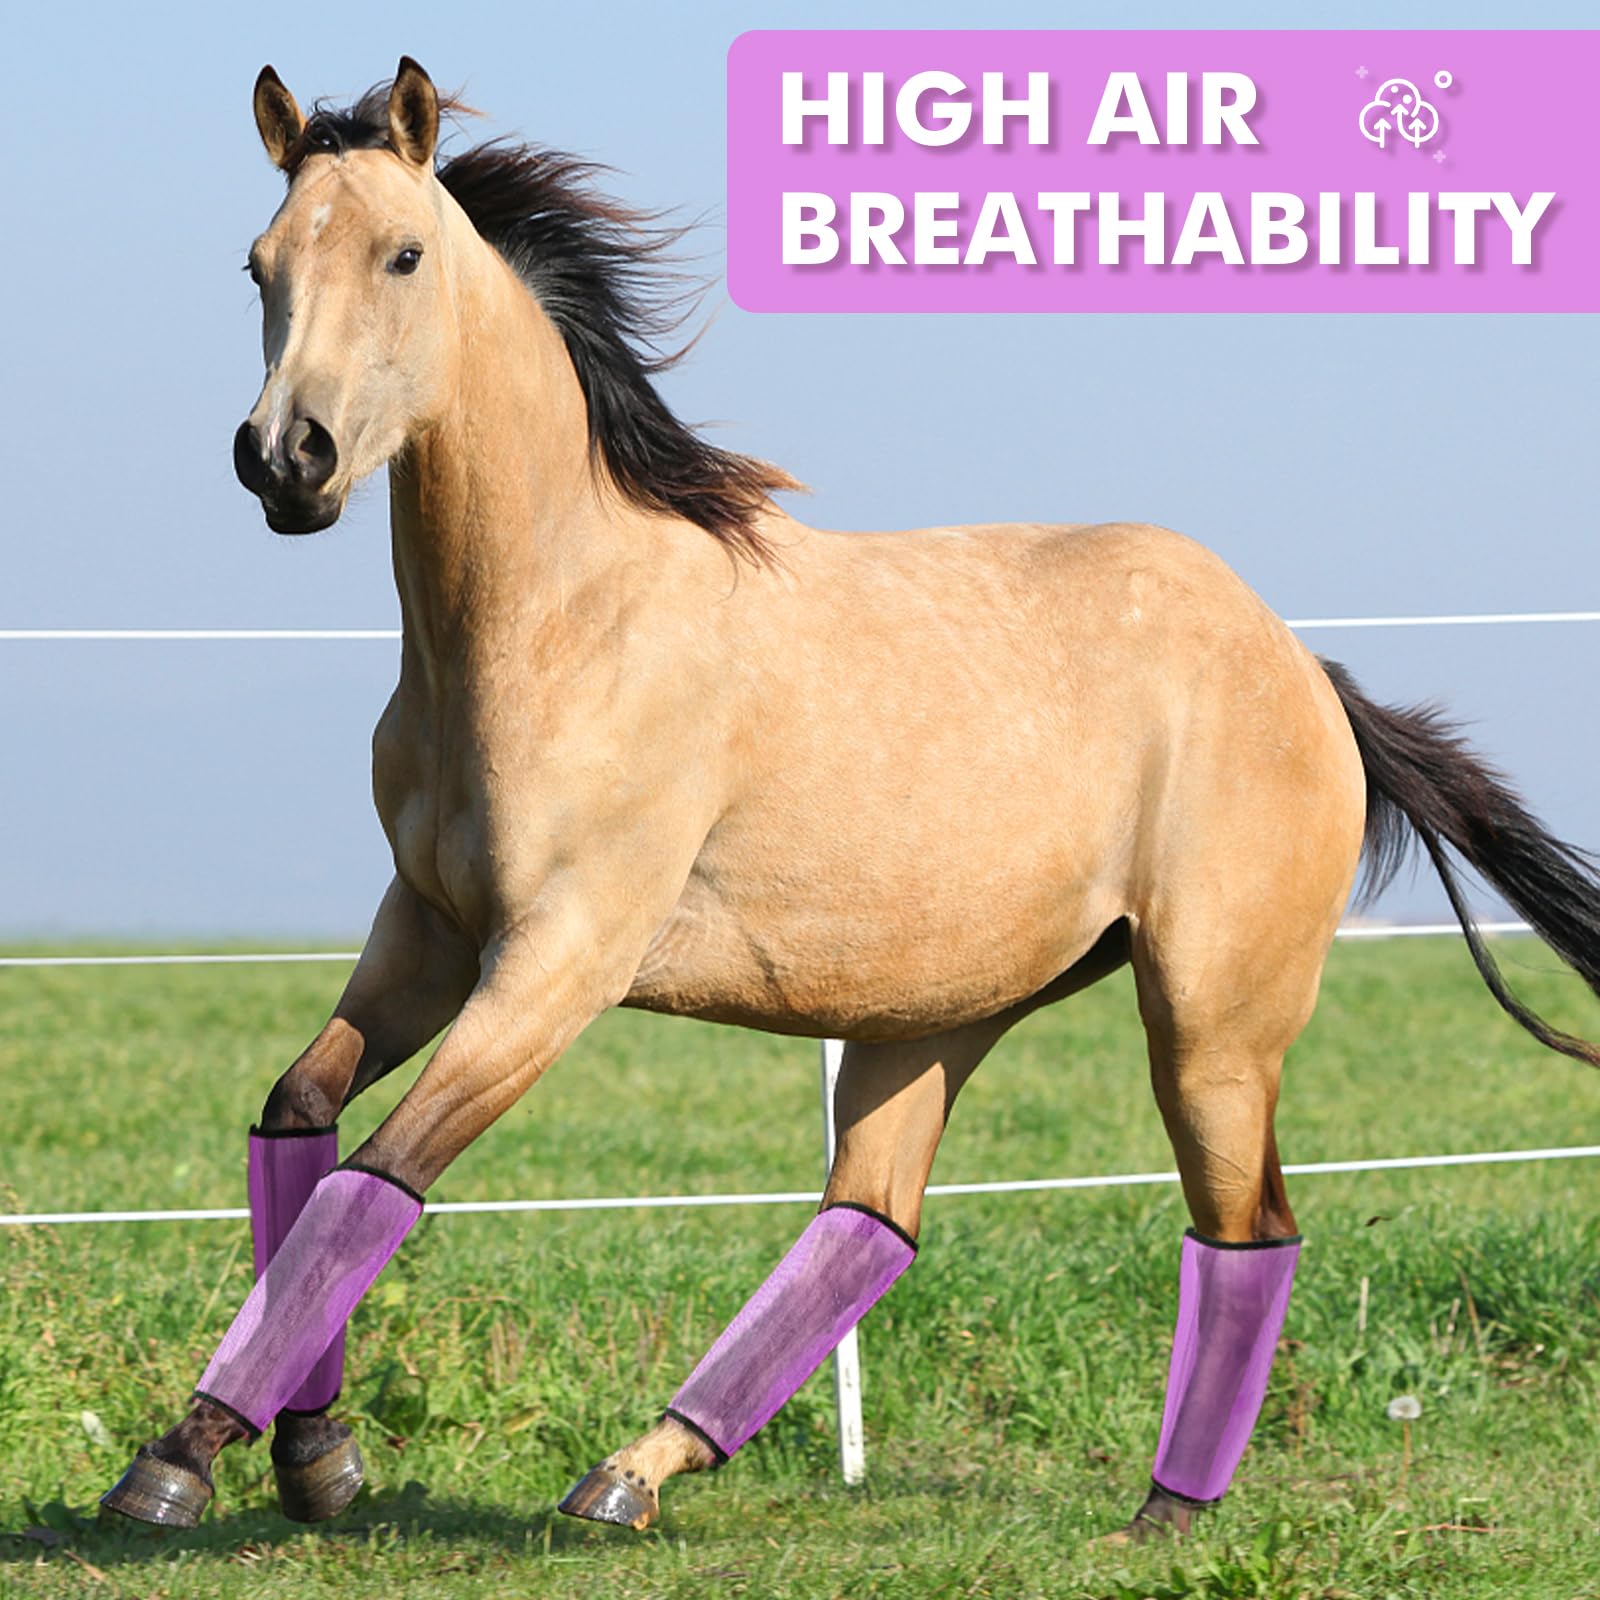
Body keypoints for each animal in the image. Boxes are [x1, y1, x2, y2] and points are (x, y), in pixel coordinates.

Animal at [103, 58, 1600, 1541]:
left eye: (404, 254)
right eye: (260, 264)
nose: (285, 458)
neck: (555, 621)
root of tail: (1305, 668)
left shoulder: (558, 963)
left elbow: (379, 1176)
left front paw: (184, 1457)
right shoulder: (424, 933)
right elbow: (301, 1119)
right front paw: (312, 1452)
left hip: (1210, 1020)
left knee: (1248, 1231)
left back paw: (1166, 1517)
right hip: (936, 1015)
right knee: (873, 1224)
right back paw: (633, 1473)